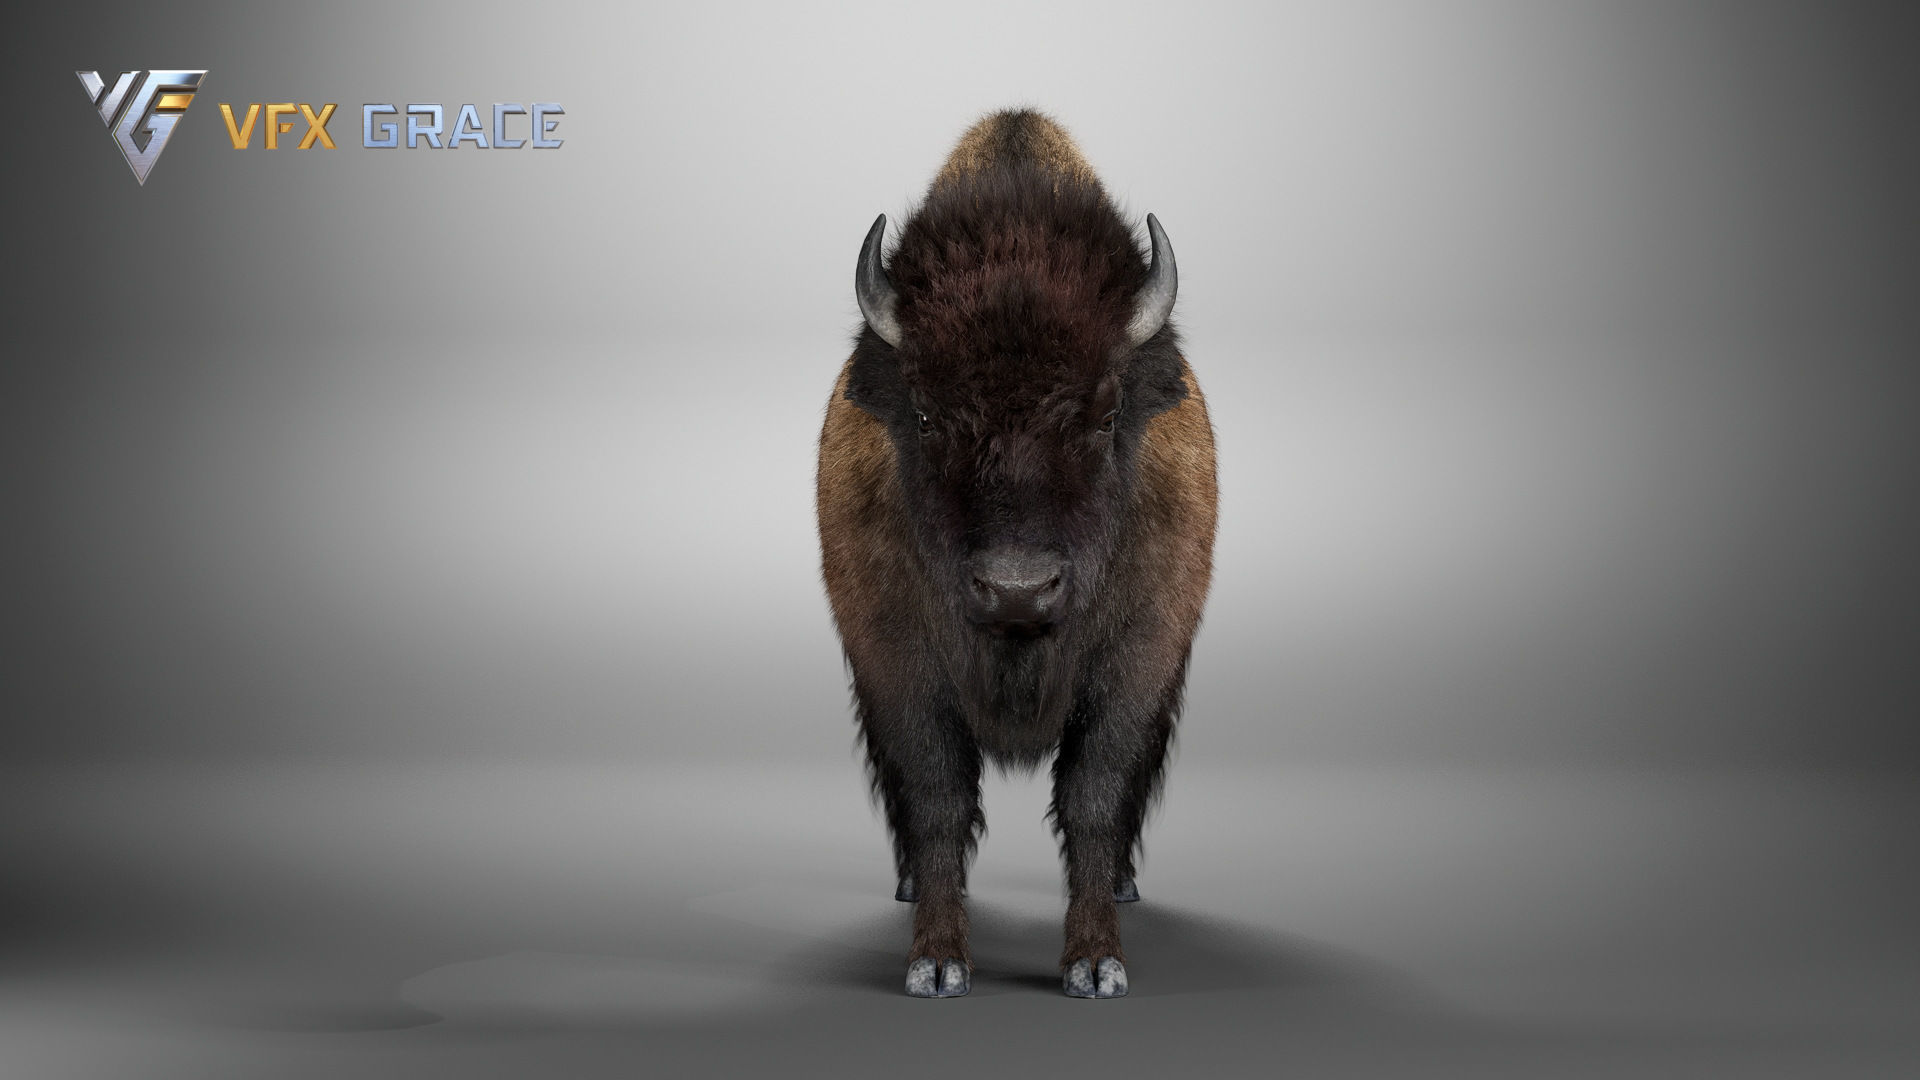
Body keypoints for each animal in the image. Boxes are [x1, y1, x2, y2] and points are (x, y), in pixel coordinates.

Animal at [816, 109, 1217, 998]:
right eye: (926, 416)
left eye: (1107, 417)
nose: (1017, 590)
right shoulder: (896, 662)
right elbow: (935, 794)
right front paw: (936, 963)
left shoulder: (1138, 662)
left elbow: (1095, 795)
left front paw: (1096, 964)